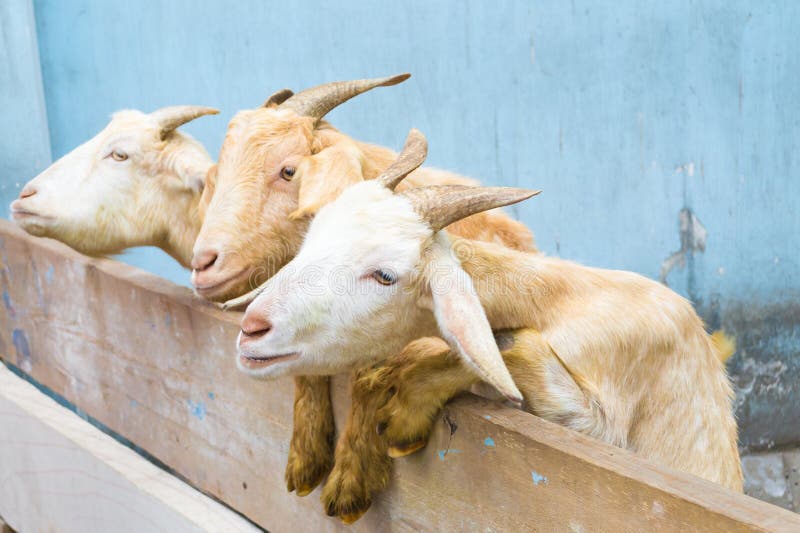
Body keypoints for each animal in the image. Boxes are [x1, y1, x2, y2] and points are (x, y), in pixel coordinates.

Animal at [237, 129, 743, 522]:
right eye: (313, 236)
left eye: (385, 275)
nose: (253, 328)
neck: (568, 297)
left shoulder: (600, 427)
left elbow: (512, 345)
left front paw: (405, 411)